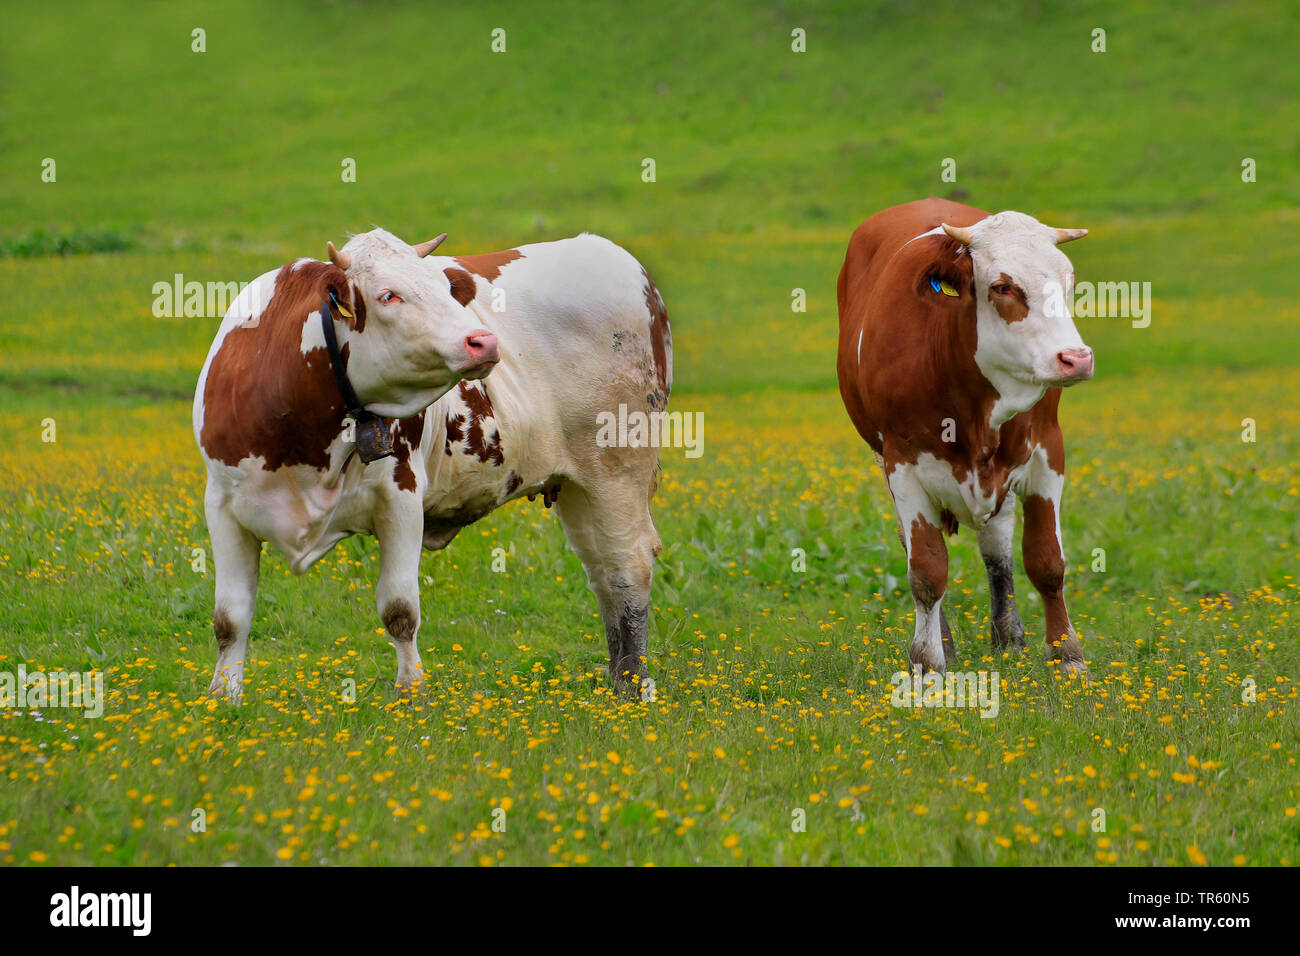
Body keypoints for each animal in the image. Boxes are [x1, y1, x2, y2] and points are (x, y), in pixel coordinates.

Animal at [194, 228, 671, 701]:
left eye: (444, 288)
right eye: (387, 295)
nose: (485, 340)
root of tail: (611, 253)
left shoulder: (400, 498)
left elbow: (399, 609)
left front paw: (411, 692)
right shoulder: (221, 505)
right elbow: (229, 617)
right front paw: (222, 697)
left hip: (618, 469)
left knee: (627, 566)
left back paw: (634, 688)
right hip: (578, 486)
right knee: (601, 571)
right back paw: (617, 683)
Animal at [837, 198, 1094, 678]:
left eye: (1068, 281)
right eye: (1003, 286)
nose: (1076, 359)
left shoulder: (1047, 451)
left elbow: (1047, 561)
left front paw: (1068, 656)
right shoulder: (902, 463)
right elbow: (926, 570)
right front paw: (927, 663)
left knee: (997, 549)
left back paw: (1008, 635)